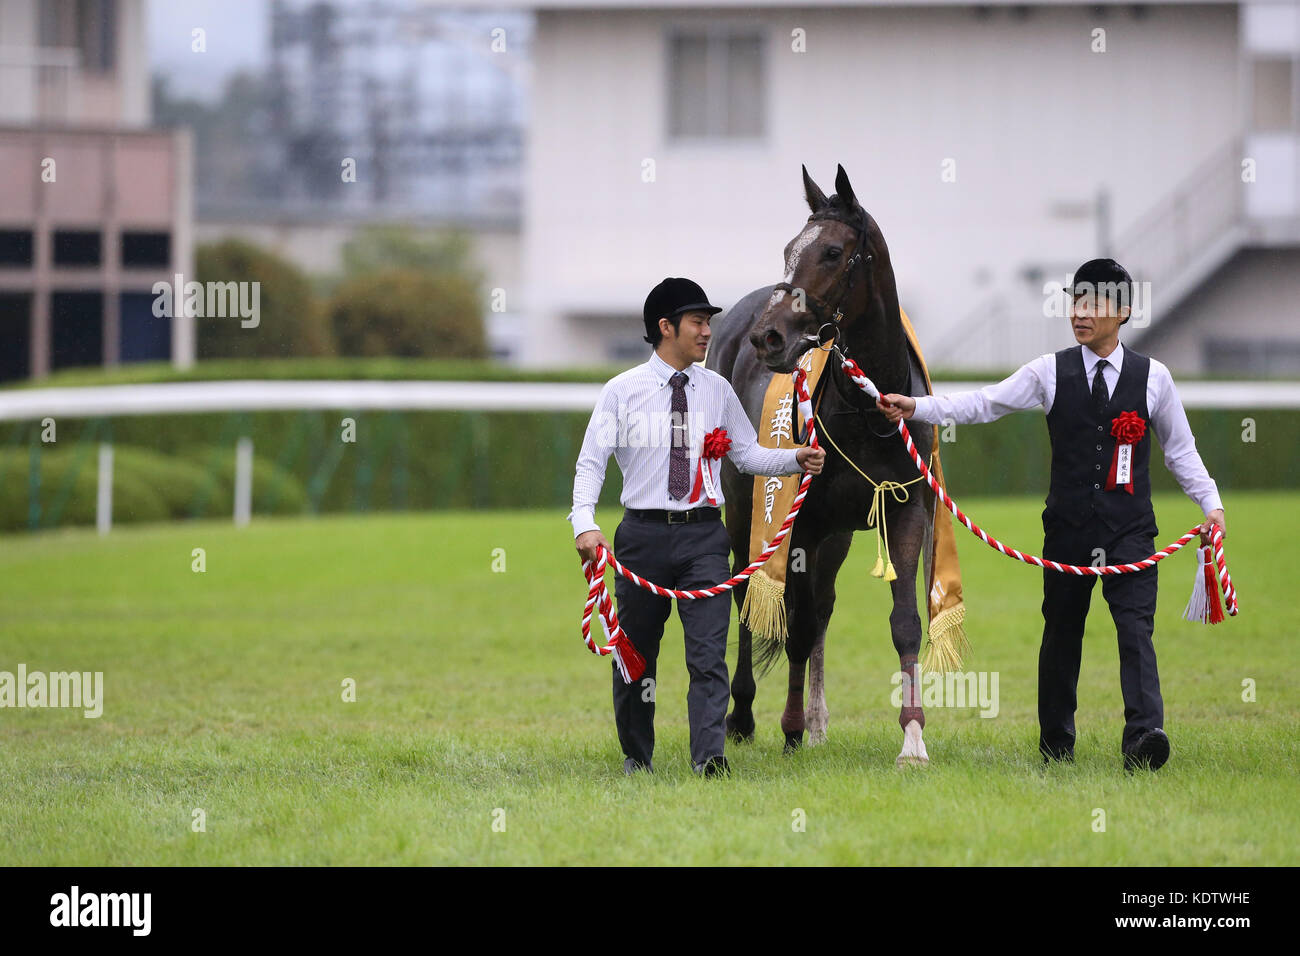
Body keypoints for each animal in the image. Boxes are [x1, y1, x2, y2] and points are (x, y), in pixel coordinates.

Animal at [704, 164, 938, 765]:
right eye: (790, 249)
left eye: (832, 252)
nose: (768, 337)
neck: (868, 411)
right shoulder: (803, 522)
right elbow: (798, 623)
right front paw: (786, 728)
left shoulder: (907, 511)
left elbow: (903, 622)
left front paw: (912, 738)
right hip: (743, 509)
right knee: (747, 595)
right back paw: (743, 715)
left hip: (838, 535)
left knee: (825, 604)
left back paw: (816, 720)